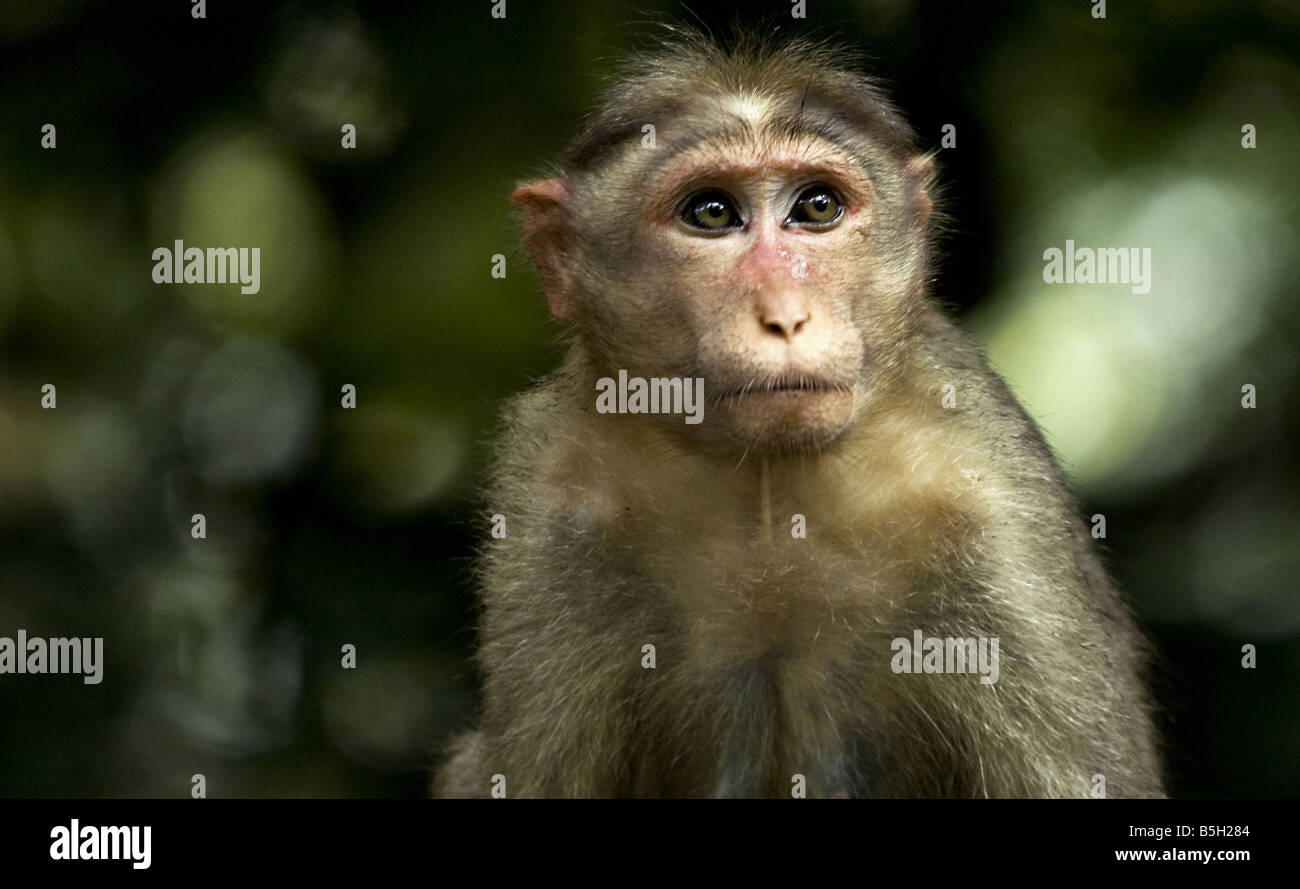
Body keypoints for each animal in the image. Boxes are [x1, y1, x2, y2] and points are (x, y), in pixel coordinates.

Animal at [434, 28, 1165, 798]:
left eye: (816, 208)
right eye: (712, 213)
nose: (785, 315)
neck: (768, 485)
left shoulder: (997, 498)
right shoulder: (555, 491)